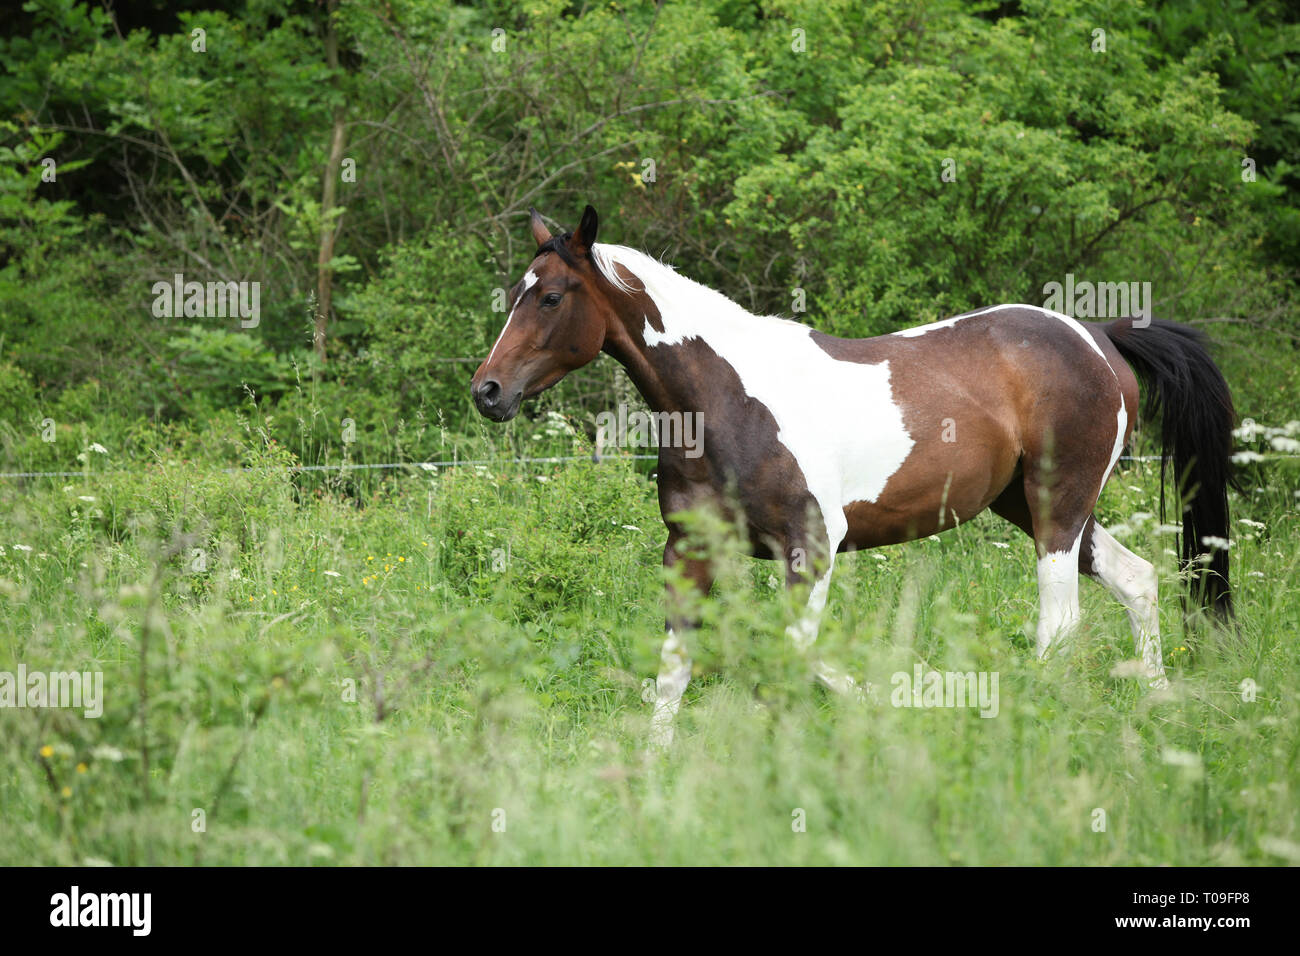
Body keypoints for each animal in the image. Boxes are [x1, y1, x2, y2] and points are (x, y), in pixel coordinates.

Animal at [471, 205, 1237, 748]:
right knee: (1138, 580)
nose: (487, 391)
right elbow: (675, 668)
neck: (726, 399)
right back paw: (1155, 704)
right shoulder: (688, 549)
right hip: (1027, 504)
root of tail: (1101, 338)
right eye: (516, 293)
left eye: (551, 297)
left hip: (1058, 503)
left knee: (1060, 621)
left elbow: (790, 656)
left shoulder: (810, 546)